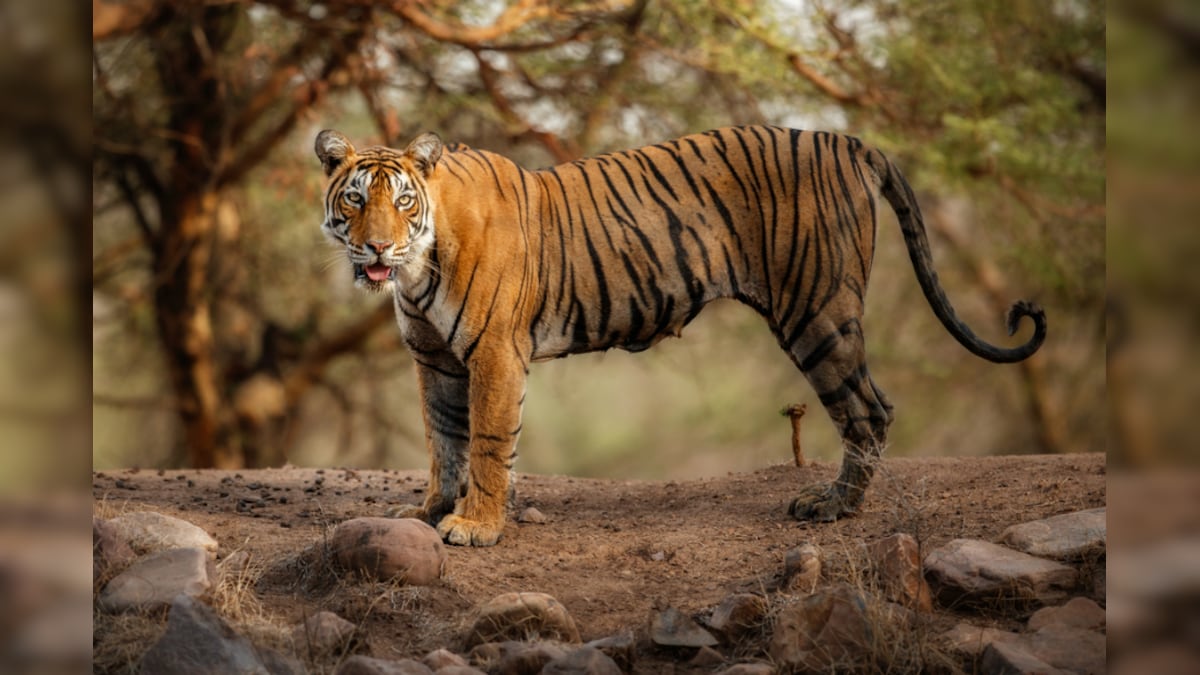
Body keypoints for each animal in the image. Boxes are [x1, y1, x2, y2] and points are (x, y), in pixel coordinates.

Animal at [314, 125, 1046, 547]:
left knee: (869, 409)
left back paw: (833, 506)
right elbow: (444, 441)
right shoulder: (434, 359)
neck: (416, 268)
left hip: (817, 311)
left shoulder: (494, 353)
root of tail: (849, 141)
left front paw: (475, 526)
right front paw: (431, 510)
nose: (377, 246)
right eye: (355, 198)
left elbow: (488, 444)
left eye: (402, 200)